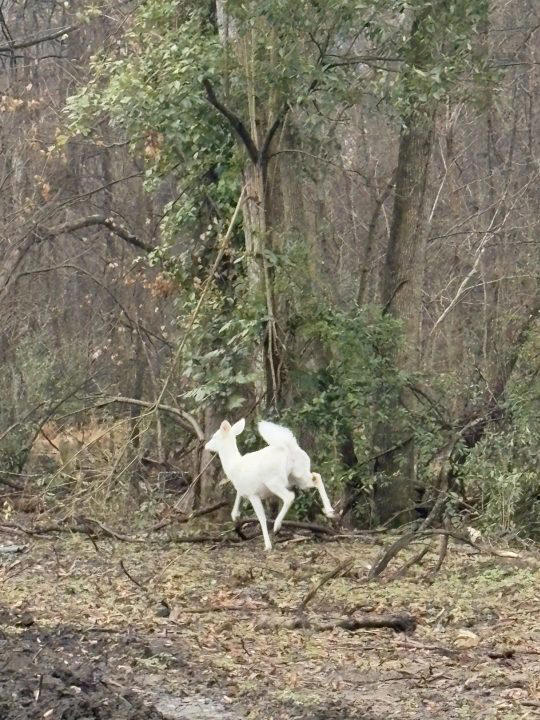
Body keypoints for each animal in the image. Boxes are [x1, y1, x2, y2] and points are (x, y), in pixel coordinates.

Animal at [204, 418, 335, 551]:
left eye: (214, 436)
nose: (205, 446)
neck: (233, 466)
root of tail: (289, 448)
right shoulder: (244, 488)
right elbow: (238, 495)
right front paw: (234, 515)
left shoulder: (253, 493)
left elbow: (261, 517)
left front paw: (267, 545)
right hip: (298, 474)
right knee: (316, 477)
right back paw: (329, 511)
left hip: (274, 481)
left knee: (290, 496)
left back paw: (277, 525)